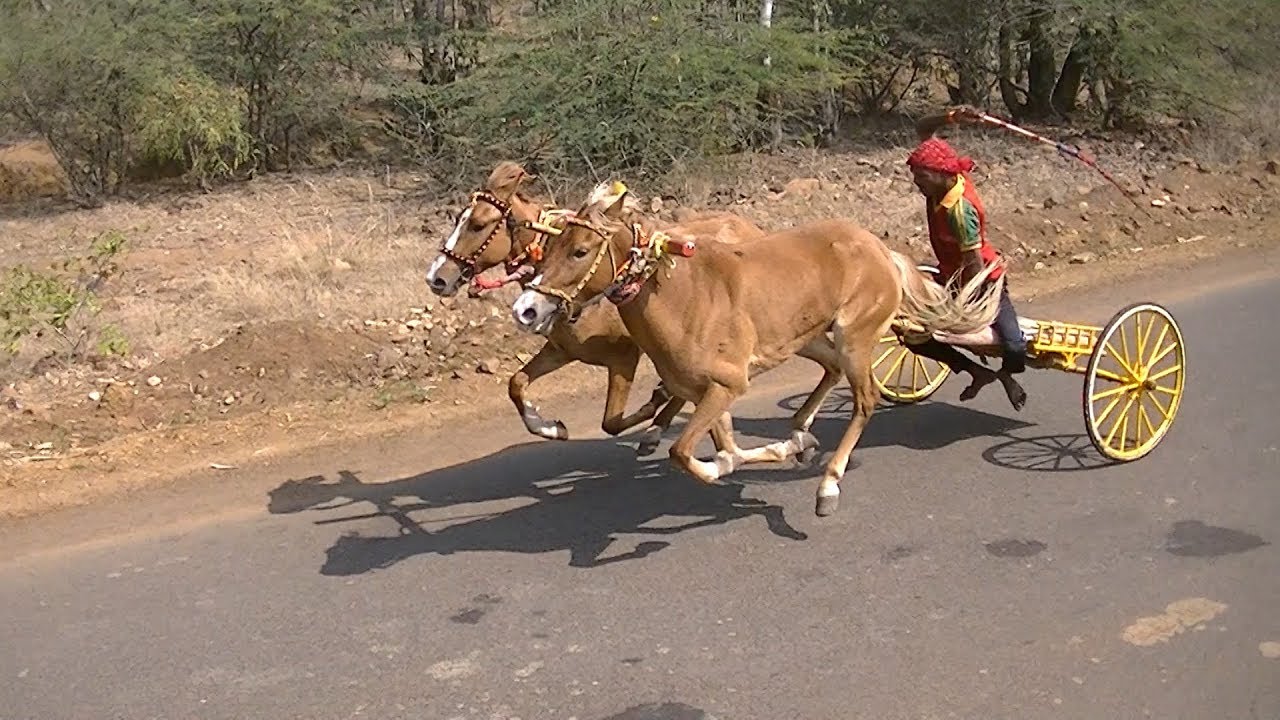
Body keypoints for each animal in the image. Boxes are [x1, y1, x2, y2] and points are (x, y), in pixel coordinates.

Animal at [425, 161, 768, 455]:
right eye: (458, 219)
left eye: (478, 224)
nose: (436, 278)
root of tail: (753, 230)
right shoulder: (562, 350)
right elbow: (517, 384)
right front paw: (551, 428)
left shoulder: (623, 356)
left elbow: (612, 422)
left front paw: (654, 405)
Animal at [511, 182, 1005, 517]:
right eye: (548, 244)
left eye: (580, 250)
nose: (527, 309)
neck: (683, 298)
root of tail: (880, 248)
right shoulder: (704, 392)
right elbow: (718, 447)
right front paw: (784, 448)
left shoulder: (726, 385)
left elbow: (686, 454)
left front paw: (740, 462)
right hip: (811, 339)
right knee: (830, 372)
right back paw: (801, 430)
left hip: (856, 337)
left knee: (865, 399)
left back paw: (828, 484)